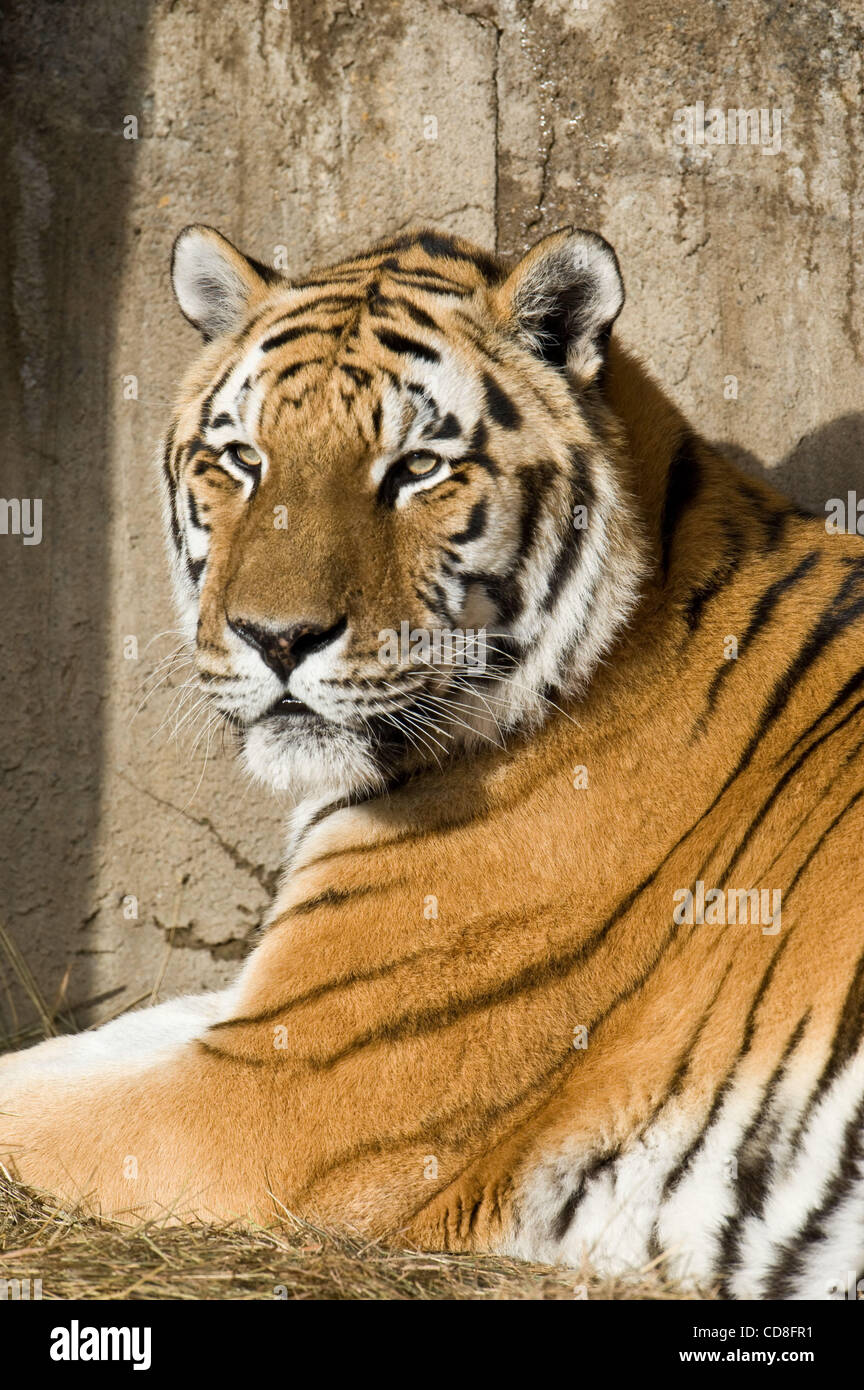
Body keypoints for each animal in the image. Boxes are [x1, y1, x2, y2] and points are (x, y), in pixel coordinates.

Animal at [2, 221, 863, 1302]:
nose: (276, 638)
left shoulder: (264, 1093)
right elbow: (63, 1050)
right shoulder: (256, 1010)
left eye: (414, 468)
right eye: (242, 459)